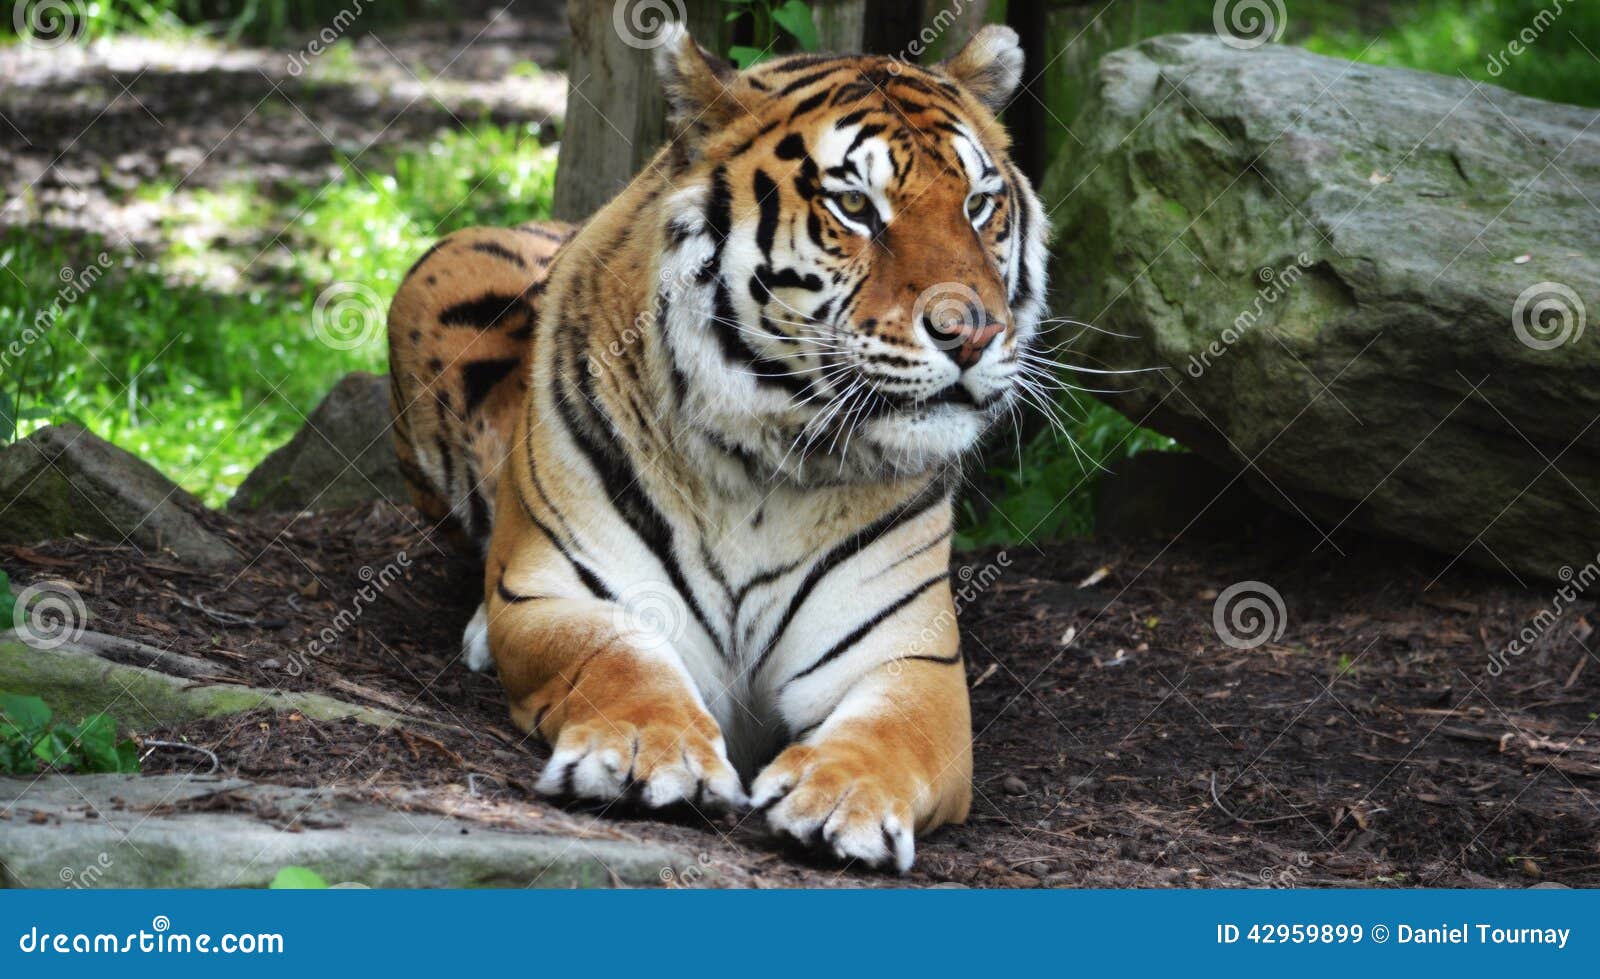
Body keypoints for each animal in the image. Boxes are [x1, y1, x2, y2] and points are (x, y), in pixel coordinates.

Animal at [386, 23, 1047, 872]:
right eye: (855, 207)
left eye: (978, 205)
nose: (972, 333)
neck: (769, 457)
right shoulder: (571, 595)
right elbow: (618, 661)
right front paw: (641, 751)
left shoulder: (908, 654)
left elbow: (890, 729)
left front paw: (846, 795)